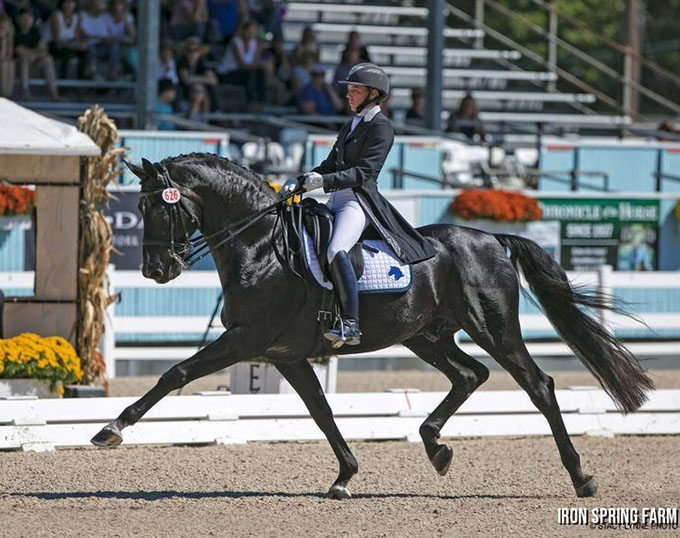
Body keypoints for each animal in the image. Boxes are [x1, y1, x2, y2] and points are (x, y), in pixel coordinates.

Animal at [92, 153, 654, 499]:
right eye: (136, 206)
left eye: (155, 207)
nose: (155, 271)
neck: (260, 246)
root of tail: (491, 238)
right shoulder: (284, 354)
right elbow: (320, 412)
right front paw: (345, 477)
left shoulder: (245, 340)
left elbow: (176, 374)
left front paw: (110, 429)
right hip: (426, 336)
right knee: (470, 375)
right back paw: (436, 447)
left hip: (494, 330)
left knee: (538, 384)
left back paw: (581, 477)